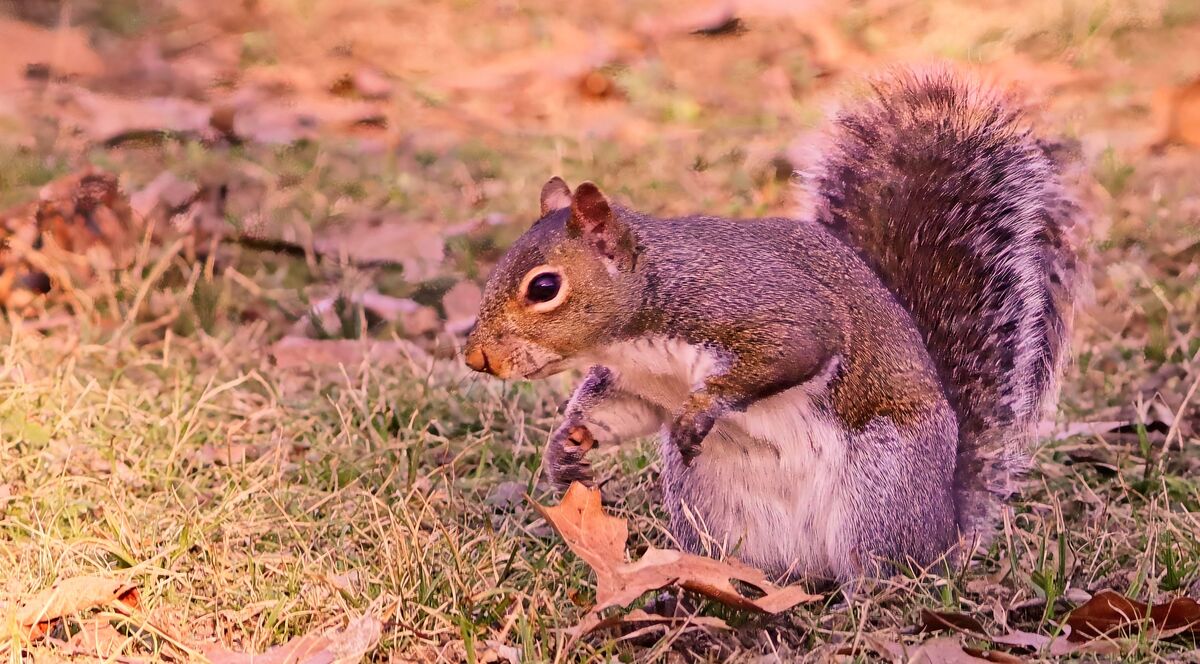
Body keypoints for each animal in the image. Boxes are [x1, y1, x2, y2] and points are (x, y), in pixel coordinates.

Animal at [463, 69, 1083, 583]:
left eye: (544, 287)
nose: (477, 358)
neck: (638, 334)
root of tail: (947, 530)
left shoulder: (765, 308)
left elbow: (791, 349)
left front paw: (703, 406)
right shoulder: (637, 382)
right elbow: (619, 411)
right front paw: (567, 444)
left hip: (881, 491)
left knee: (883, 564)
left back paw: (867, 592)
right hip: (709, 504)